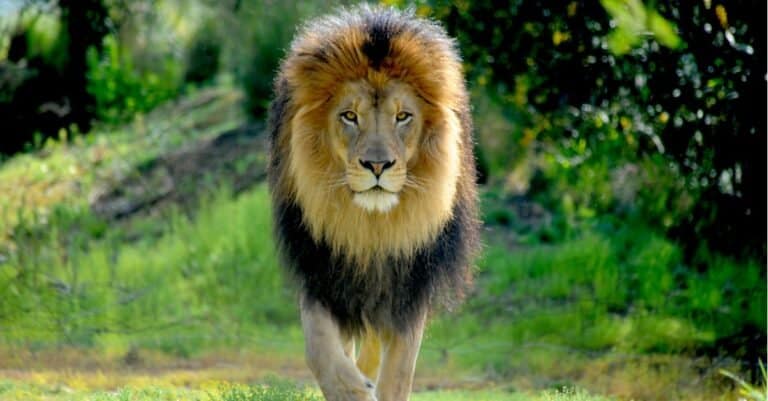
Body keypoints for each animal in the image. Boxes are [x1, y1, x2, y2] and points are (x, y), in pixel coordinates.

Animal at [267, 5, 480, 401]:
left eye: (403, 116)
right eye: (350, 116)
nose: (377, 165)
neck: (371, 227)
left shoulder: (411, 282)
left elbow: (398, 369)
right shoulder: (321, 266)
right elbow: (319, 345)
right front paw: (351, 390)